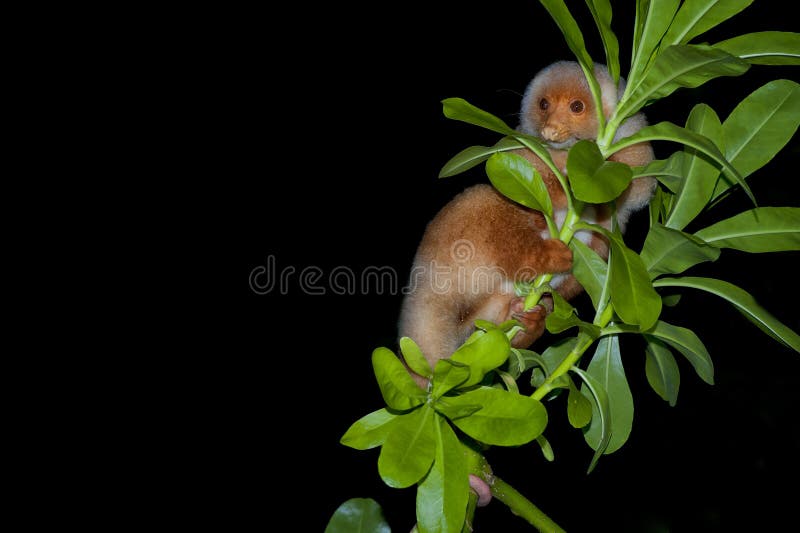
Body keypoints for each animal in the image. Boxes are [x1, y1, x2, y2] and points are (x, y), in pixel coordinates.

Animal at [398, 61, 657, 391]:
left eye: (577, 107)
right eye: (544, 105)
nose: (549, 129)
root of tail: (424, 282)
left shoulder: (634, 148)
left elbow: (635, 182)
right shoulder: (521, 152)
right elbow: (534, 179)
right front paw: (569, 185)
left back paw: (528, 320)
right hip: (457, 248)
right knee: (493, 209)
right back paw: (544, 256)